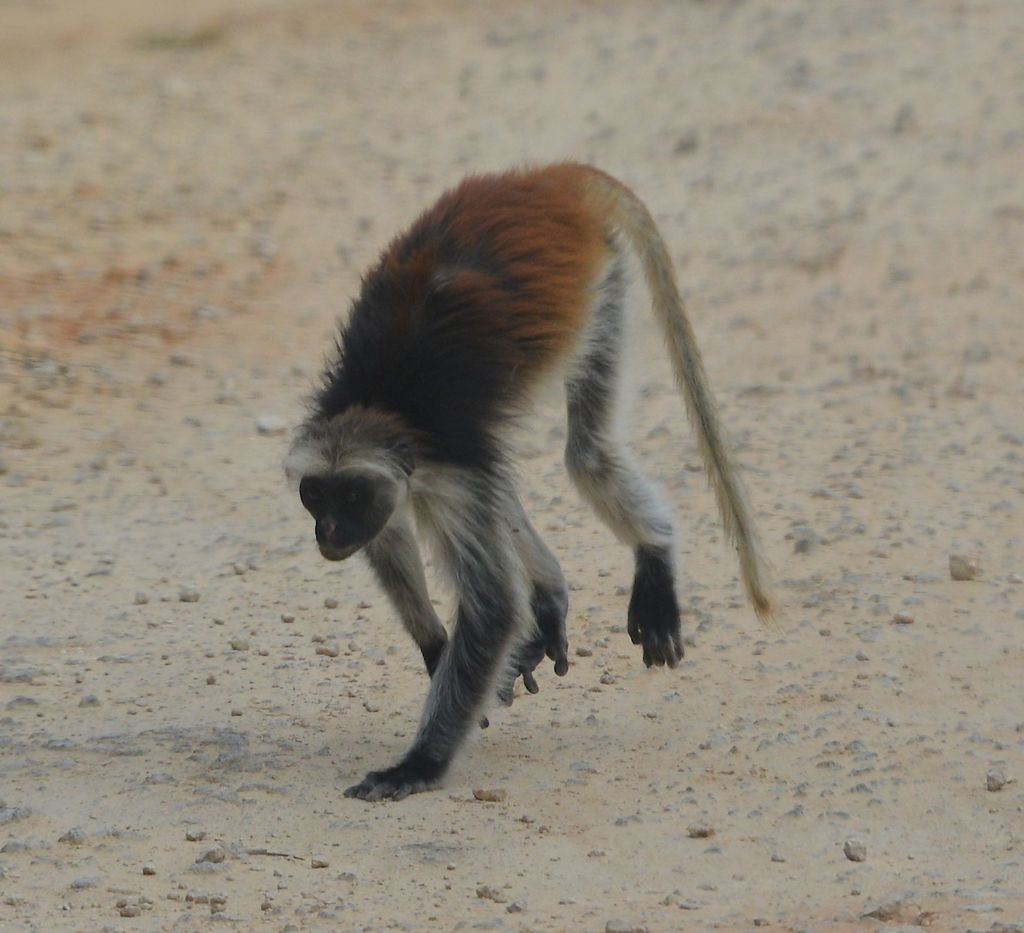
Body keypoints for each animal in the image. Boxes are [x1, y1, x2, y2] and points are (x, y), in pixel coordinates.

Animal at [285, 163, 772, 801]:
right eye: (317, 496)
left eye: (350, 496)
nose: (330, 532)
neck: (384, 402)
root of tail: (545, 180)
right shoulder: (412, 479)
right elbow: (402, 533)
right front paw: (441, 648)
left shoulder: (447, 466)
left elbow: (492, 606)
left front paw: (420, 764)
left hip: (599, 285)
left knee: (587, 455)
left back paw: (655, 547)